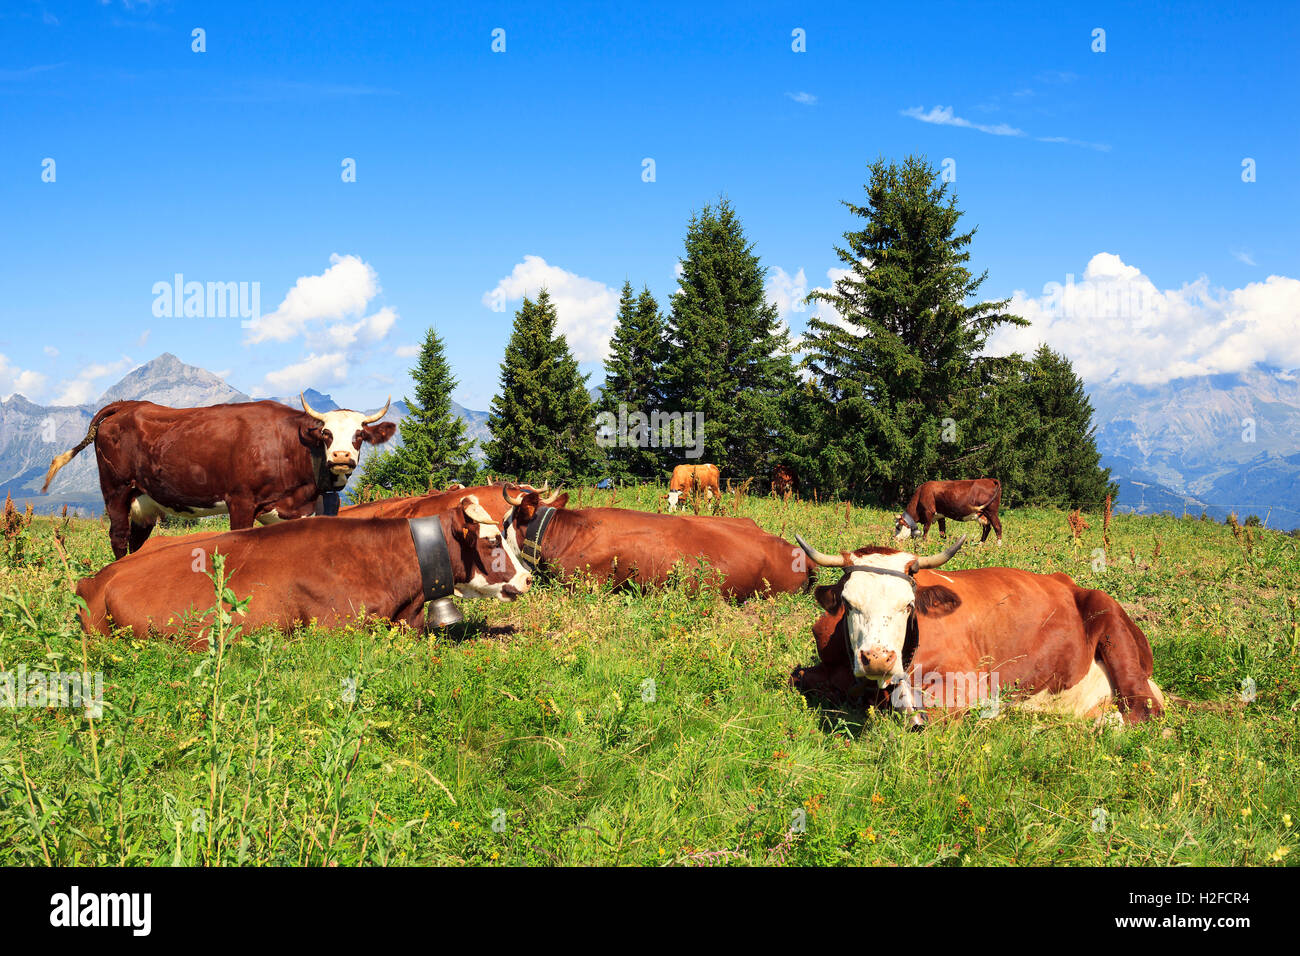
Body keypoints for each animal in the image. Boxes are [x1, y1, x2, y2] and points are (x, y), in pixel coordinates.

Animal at [42, 395, 396, 559]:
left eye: (360, 435)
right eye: (325, 433)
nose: (341, 458)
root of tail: (127, 404)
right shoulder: (240, 500)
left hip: (144, 503)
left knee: (135, 541)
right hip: (115, 490)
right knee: (117, 538)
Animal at [788, 535, 1165, 726]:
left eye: (908, 605)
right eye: (848, 603)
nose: (878, 658)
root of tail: (1069, 583)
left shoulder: (967, 684)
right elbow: (798, 677)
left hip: (1114, 627)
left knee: (1143, 712)